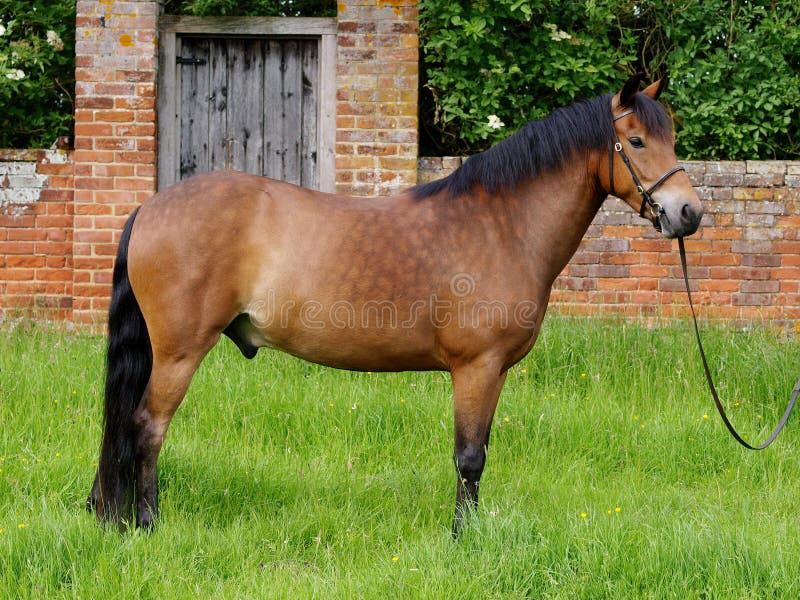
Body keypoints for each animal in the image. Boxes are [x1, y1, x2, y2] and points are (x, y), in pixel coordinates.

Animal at [87, 74, 703, 535]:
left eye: (671, 137)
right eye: (638, 142)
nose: (689, 213)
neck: (500, 226)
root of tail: (149, 208)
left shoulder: (496, 372)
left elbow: (479, 453)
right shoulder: (475, 368)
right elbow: (468, 456)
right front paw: (460, 539)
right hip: (179, 351)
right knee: (147, 426)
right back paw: (148, 523)